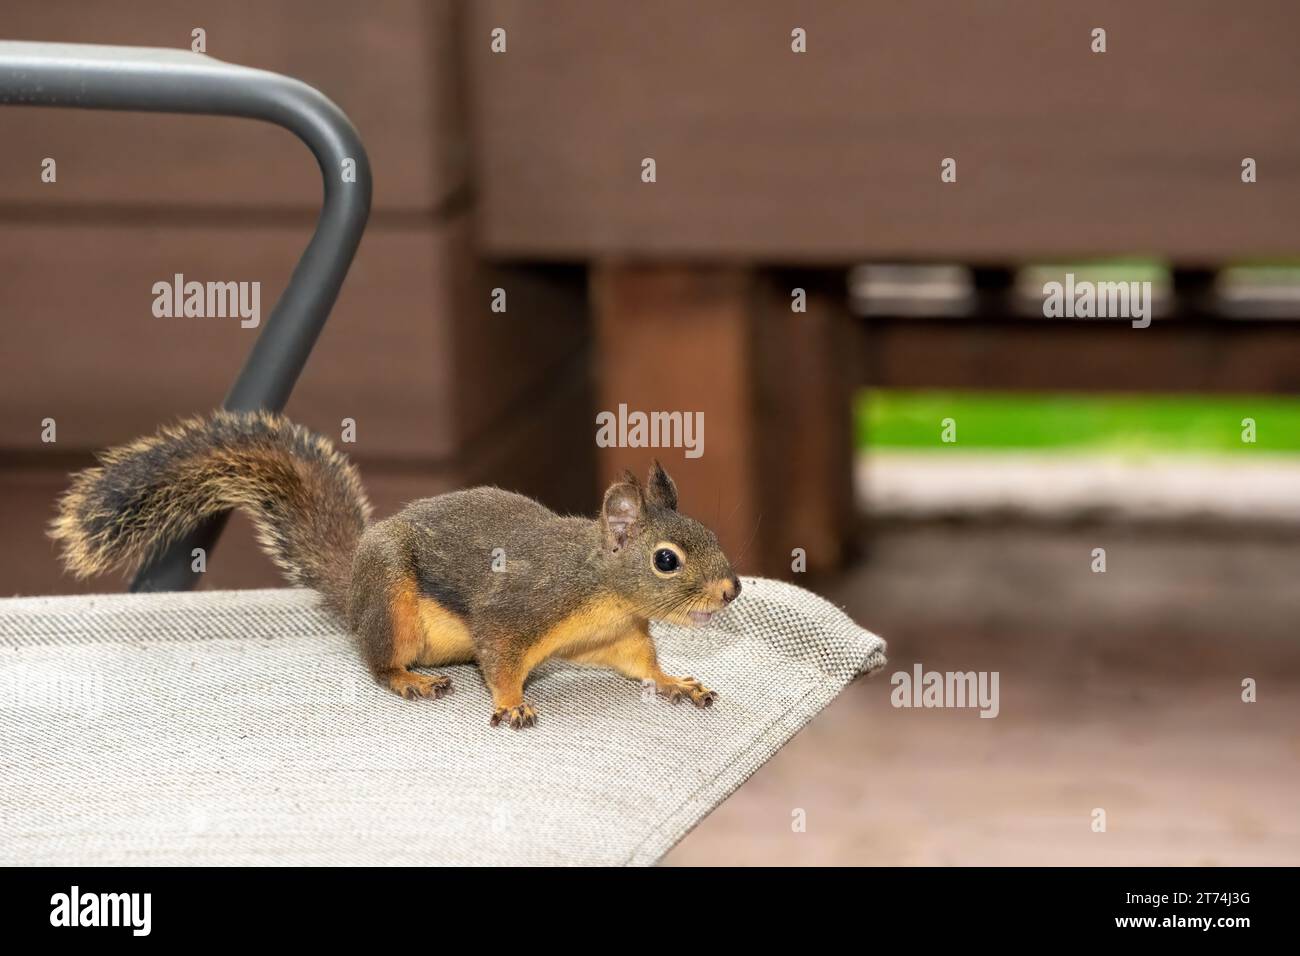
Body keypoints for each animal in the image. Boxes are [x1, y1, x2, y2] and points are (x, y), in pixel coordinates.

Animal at [49, 410, 742, 729]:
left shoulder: (617, 635)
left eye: (712, 534)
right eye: (666, 560)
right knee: (378, 662)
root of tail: (354, 586)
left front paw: (679, 683)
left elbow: (642, 665)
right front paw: (512, 703)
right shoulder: (518, 609)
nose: (732, 590)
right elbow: (501, 659)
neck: (602, 587)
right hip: (393, 605)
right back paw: (408, 680)